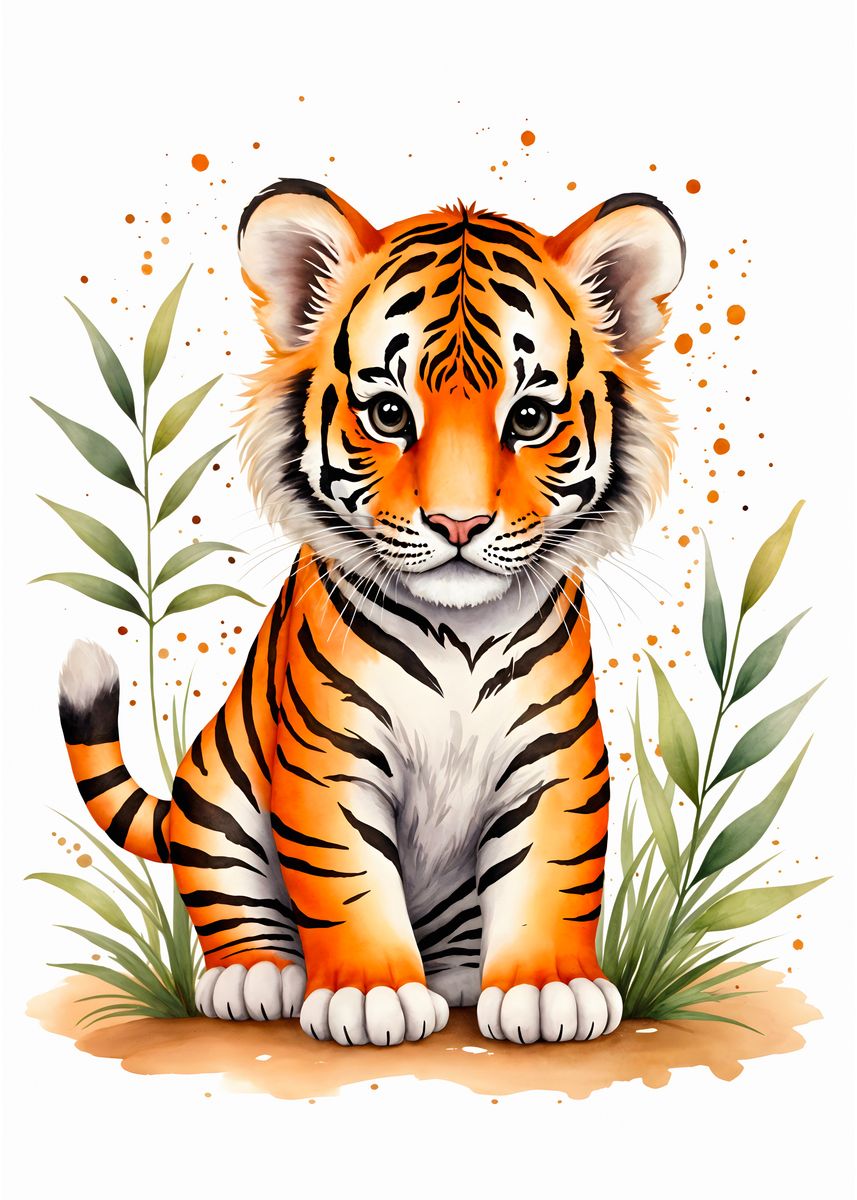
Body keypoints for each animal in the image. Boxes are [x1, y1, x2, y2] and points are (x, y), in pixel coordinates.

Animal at [57, 178, 684, 1046]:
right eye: (389, 414)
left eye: (527, 419)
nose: (458, 524)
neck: (463, 632)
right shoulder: (328, 759)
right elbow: (344, 876)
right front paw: (369, 995)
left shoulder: (554, 758)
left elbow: (551, 874)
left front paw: (547, 988)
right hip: (215, 801)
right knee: (232, 902)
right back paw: (256, 977)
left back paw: (458, 975)